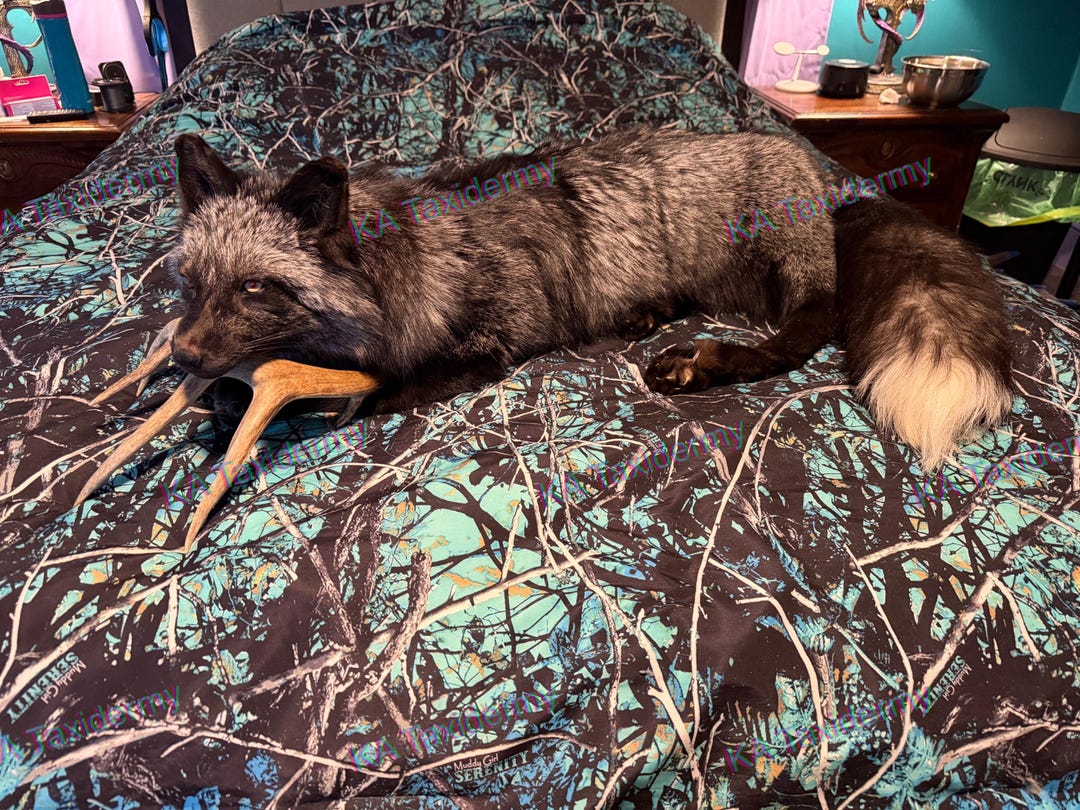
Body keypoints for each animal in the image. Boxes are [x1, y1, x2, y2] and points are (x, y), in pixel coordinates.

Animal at [167, 127, 1012, 470]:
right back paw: (643, 318)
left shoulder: (488, 345)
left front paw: (264, 406)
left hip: (786, 271)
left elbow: (371, 388)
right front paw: (218, 401)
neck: (409, 266)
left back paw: (707, 363)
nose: (179, 354)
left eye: (256, 287)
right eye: (192, 281)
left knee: (806, 331)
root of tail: (827, 184)